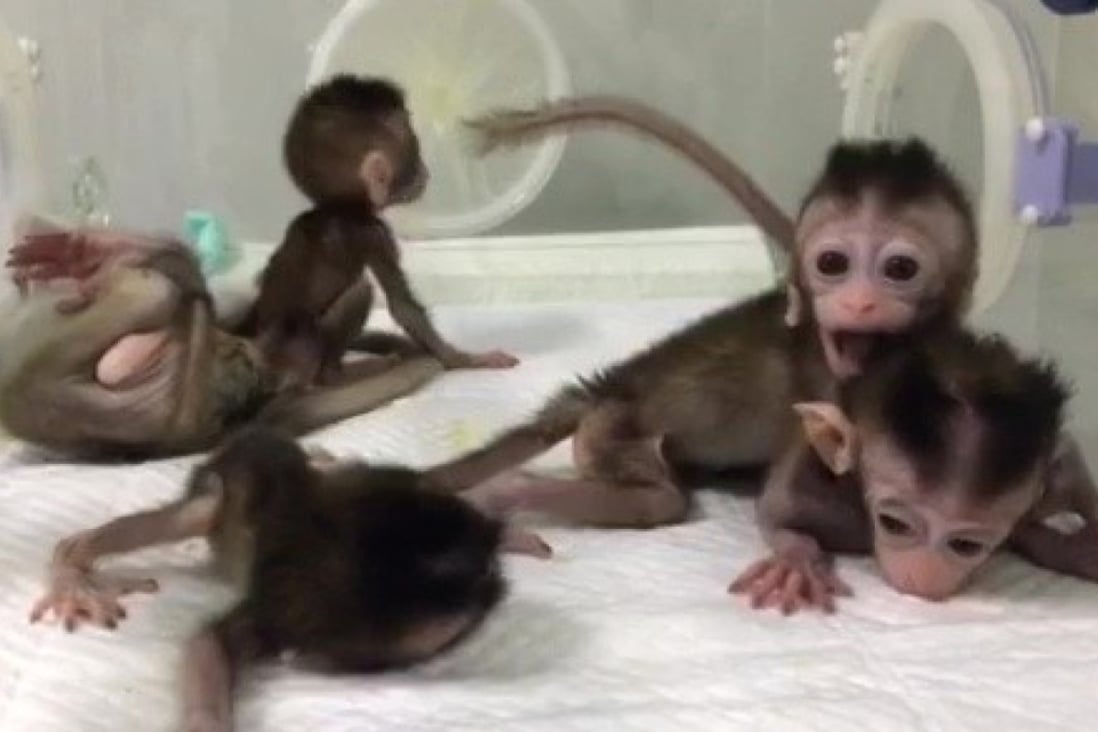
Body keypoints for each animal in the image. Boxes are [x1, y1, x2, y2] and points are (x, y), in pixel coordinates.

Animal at [27, 427, 533, 732]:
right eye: (483, 580)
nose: (498, 575)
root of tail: (244, 438)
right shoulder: (284, 612)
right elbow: (210, 645)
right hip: (216, 487)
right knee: (198, 511)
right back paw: (71, 569)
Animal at [236, 74, 518, 389]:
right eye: (416, 153)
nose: (426, 173)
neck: (342, 207)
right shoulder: (376, 235)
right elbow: (402, 306)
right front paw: (465, 359)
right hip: (302, 353)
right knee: (361, 291)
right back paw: (342, 374)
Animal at [729, 328, 1098, 613]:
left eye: (966, 545)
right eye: (894, 524)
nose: (922, 579)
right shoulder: (814, 484)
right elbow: (774, 511)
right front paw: (798, 562)